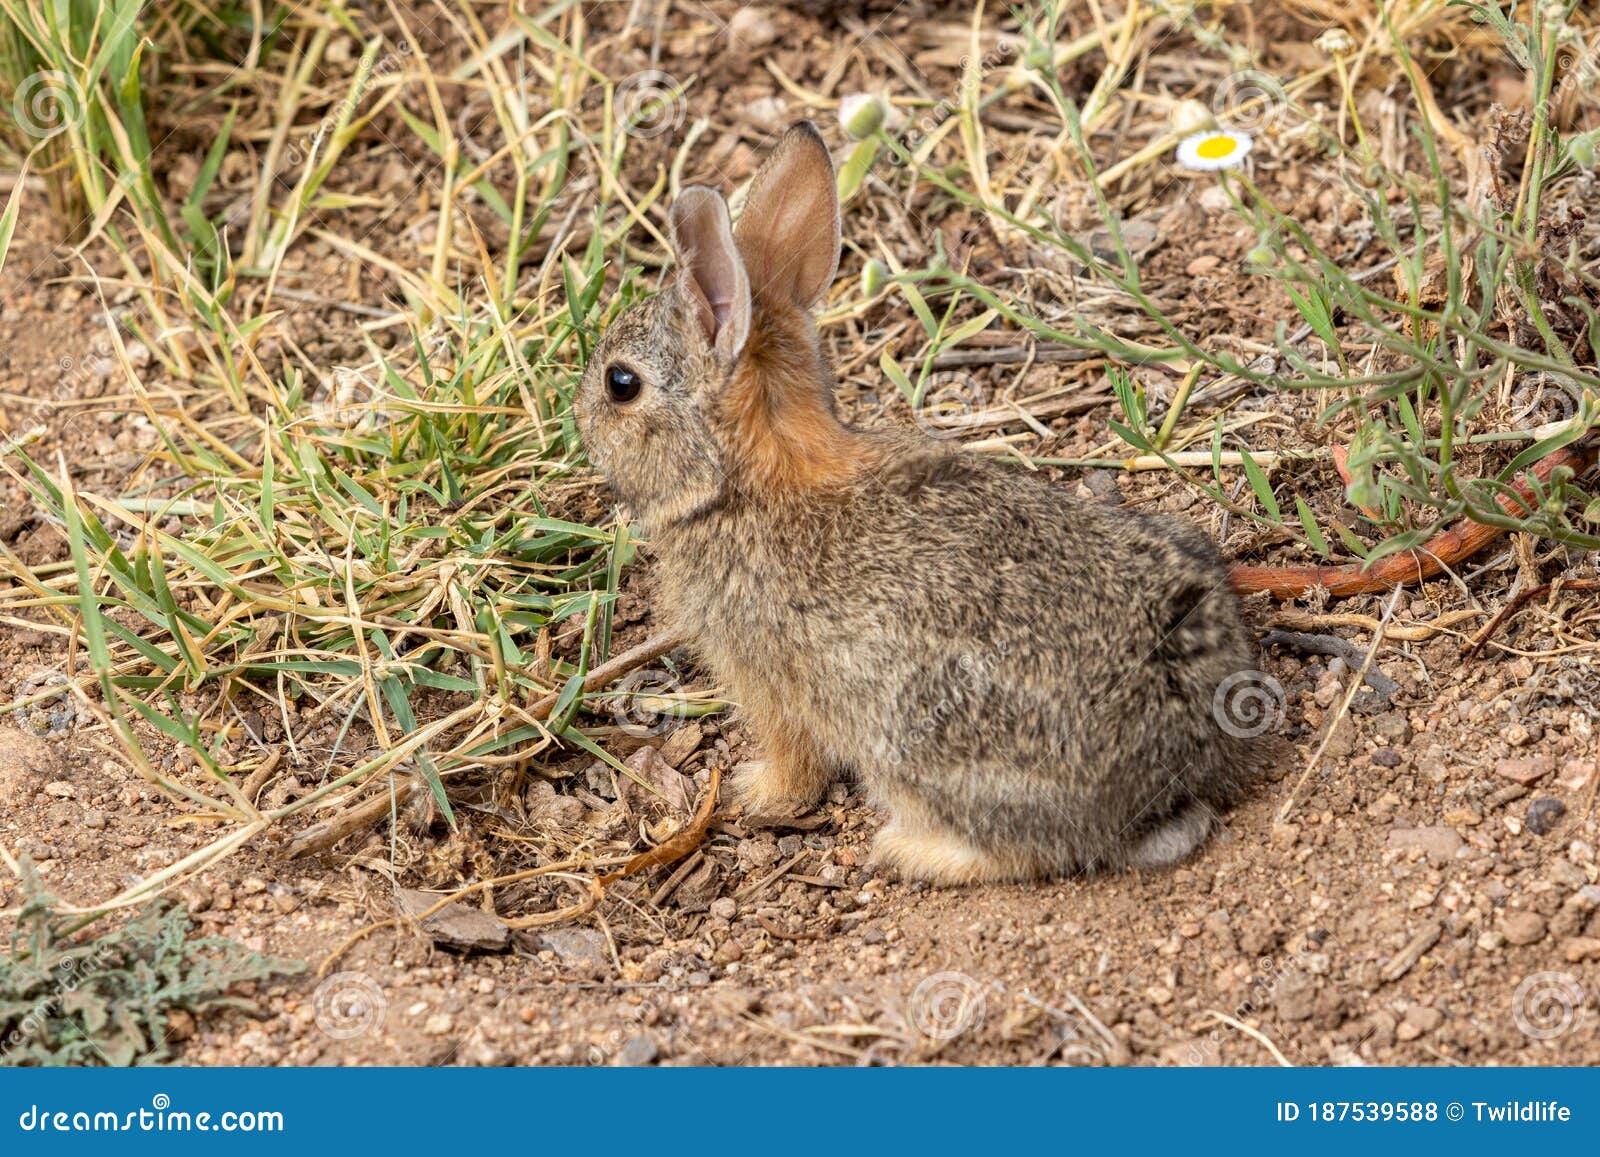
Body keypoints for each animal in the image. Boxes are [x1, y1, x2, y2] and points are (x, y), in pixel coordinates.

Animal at [575, 121, 1272, 885]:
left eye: (621, 384)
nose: (580, 417)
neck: (746, 481)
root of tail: (1173, 761)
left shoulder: (767, 677)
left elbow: (796, 760)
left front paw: (755, 792)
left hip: (915, 740)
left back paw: (906, 848)